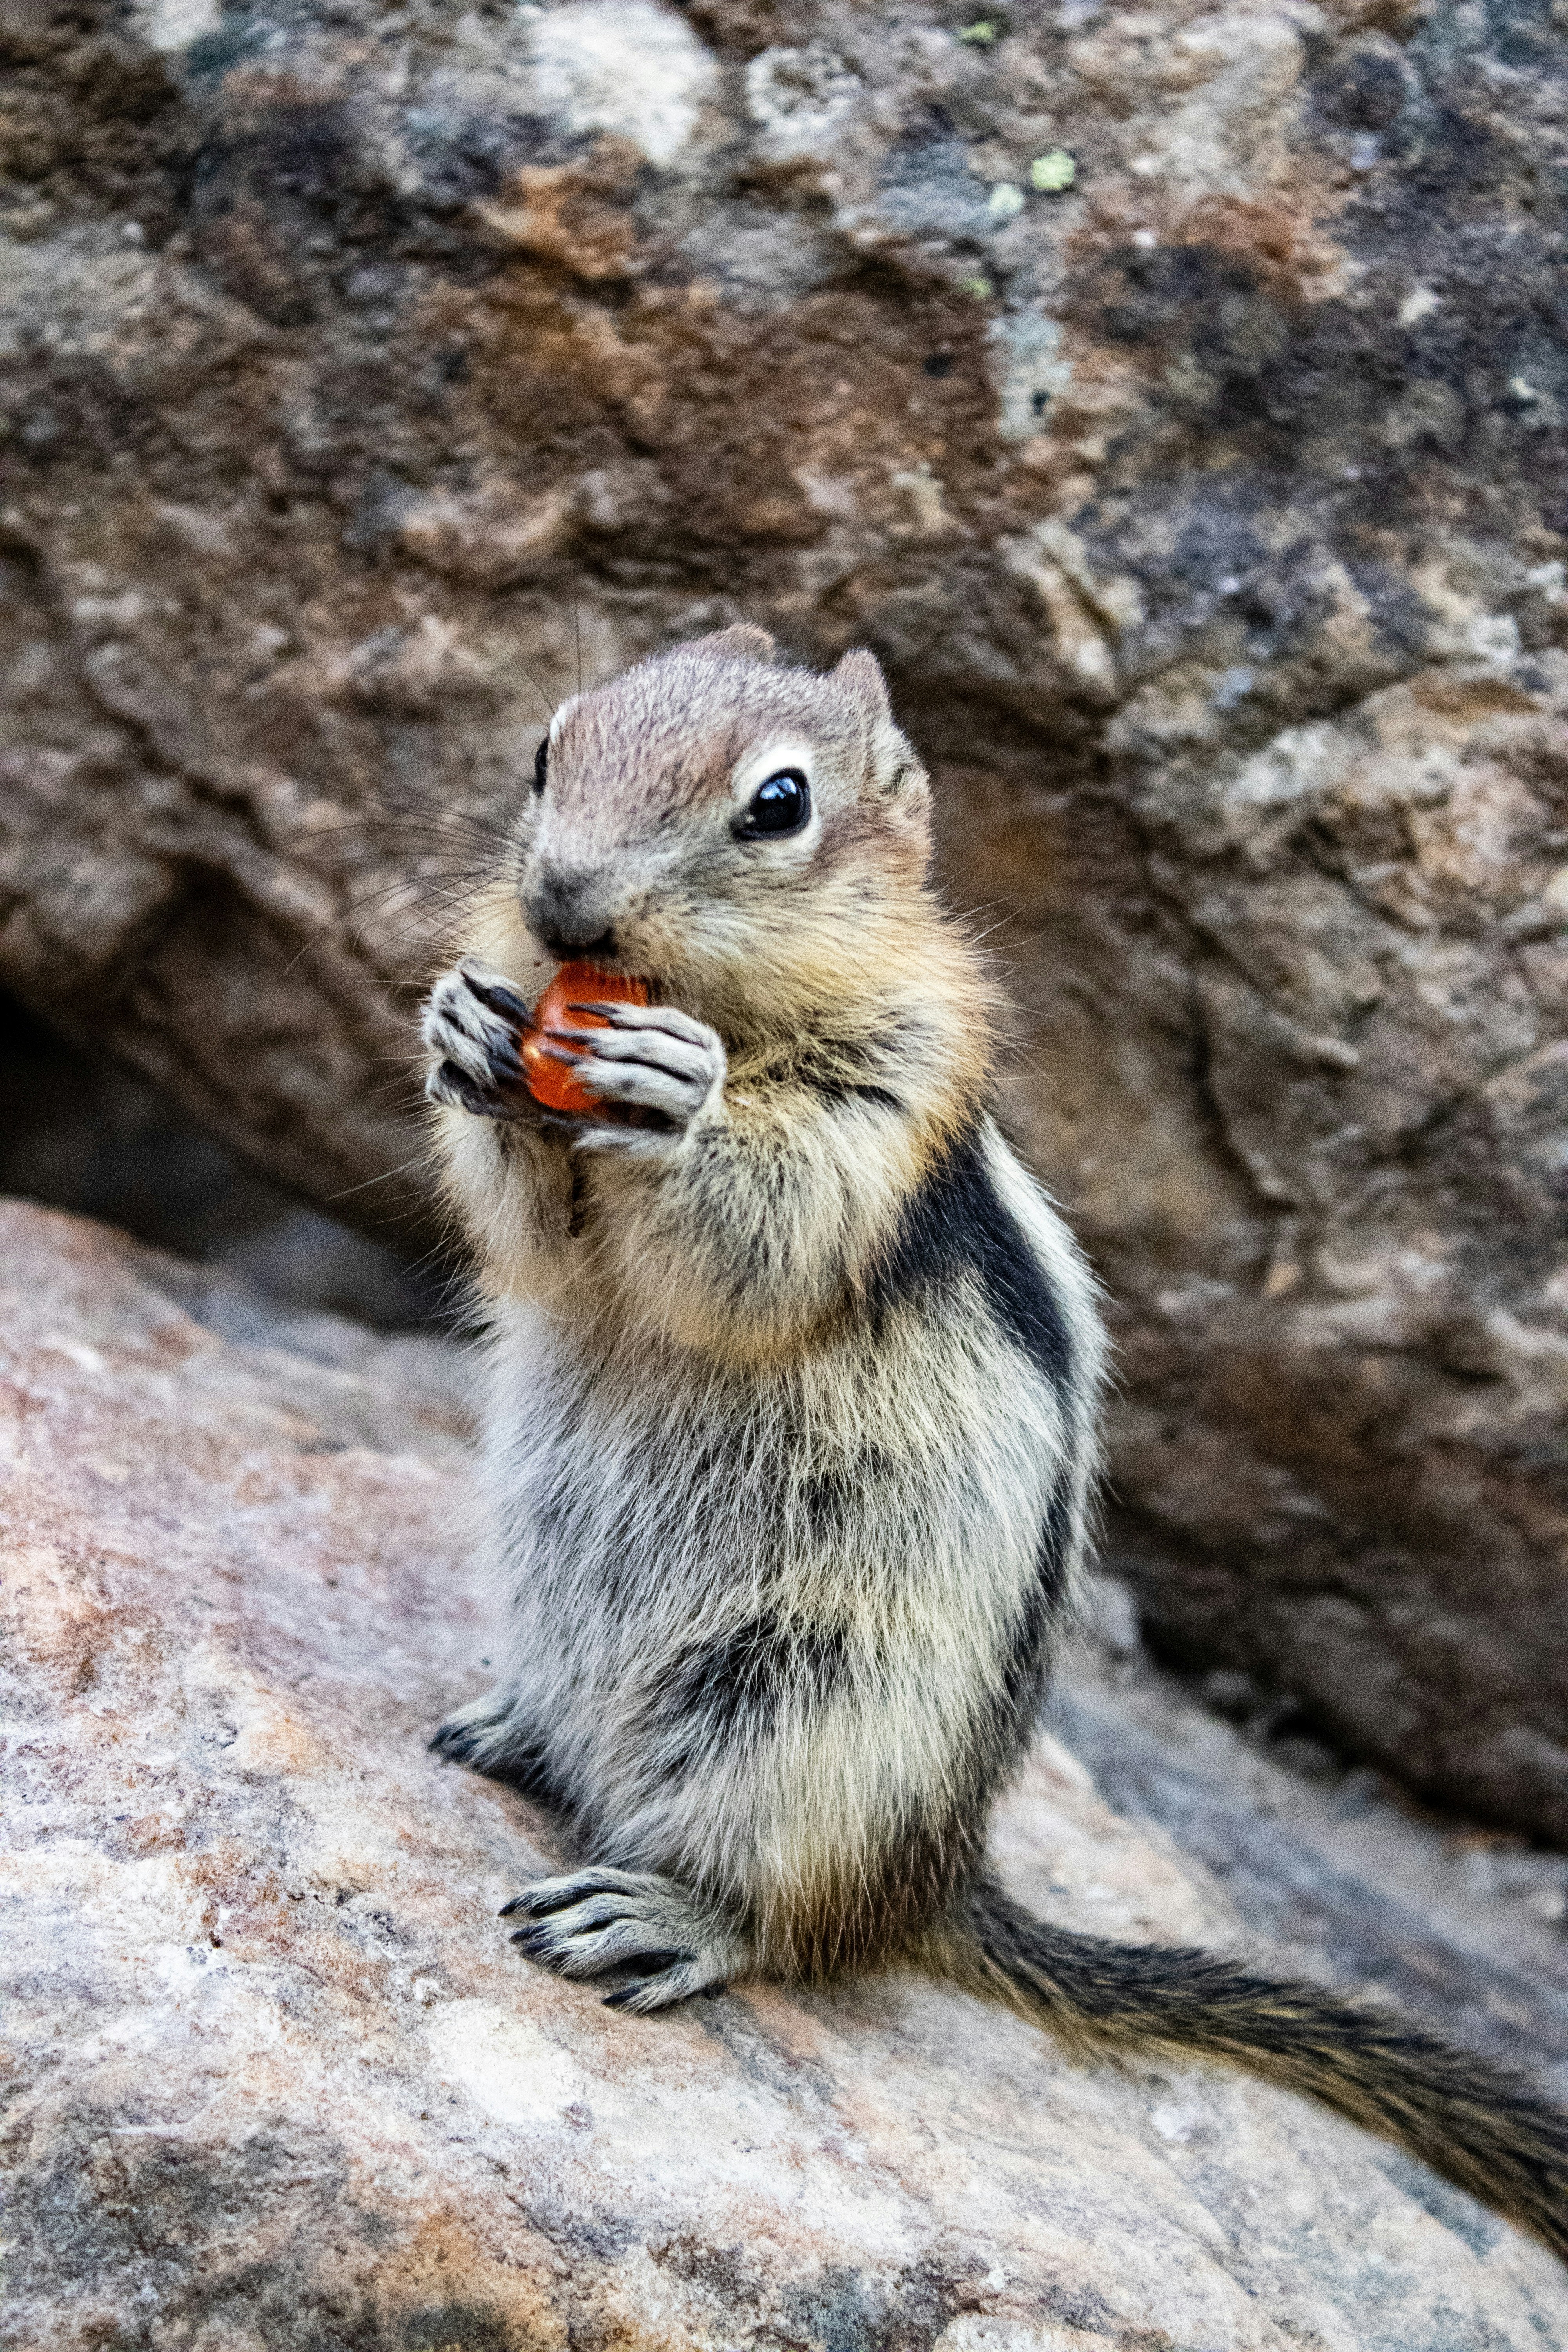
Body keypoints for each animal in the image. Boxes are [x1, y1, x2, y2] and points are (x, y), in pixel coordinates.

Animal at [421, 624, 1567, 2261]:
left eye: (779, 803)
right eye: (541, 752)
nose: (562, 903)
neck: (721, 1002)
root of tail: (938, 1877)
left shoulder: (893, 1094)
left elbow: (758, 1241)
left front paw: (678, 1094)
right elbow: (536, 1236)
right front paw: (464, 1030)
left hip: (801, 1706)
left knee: (785, 1917)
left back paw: (660, 1911)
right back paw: (517, 1726)